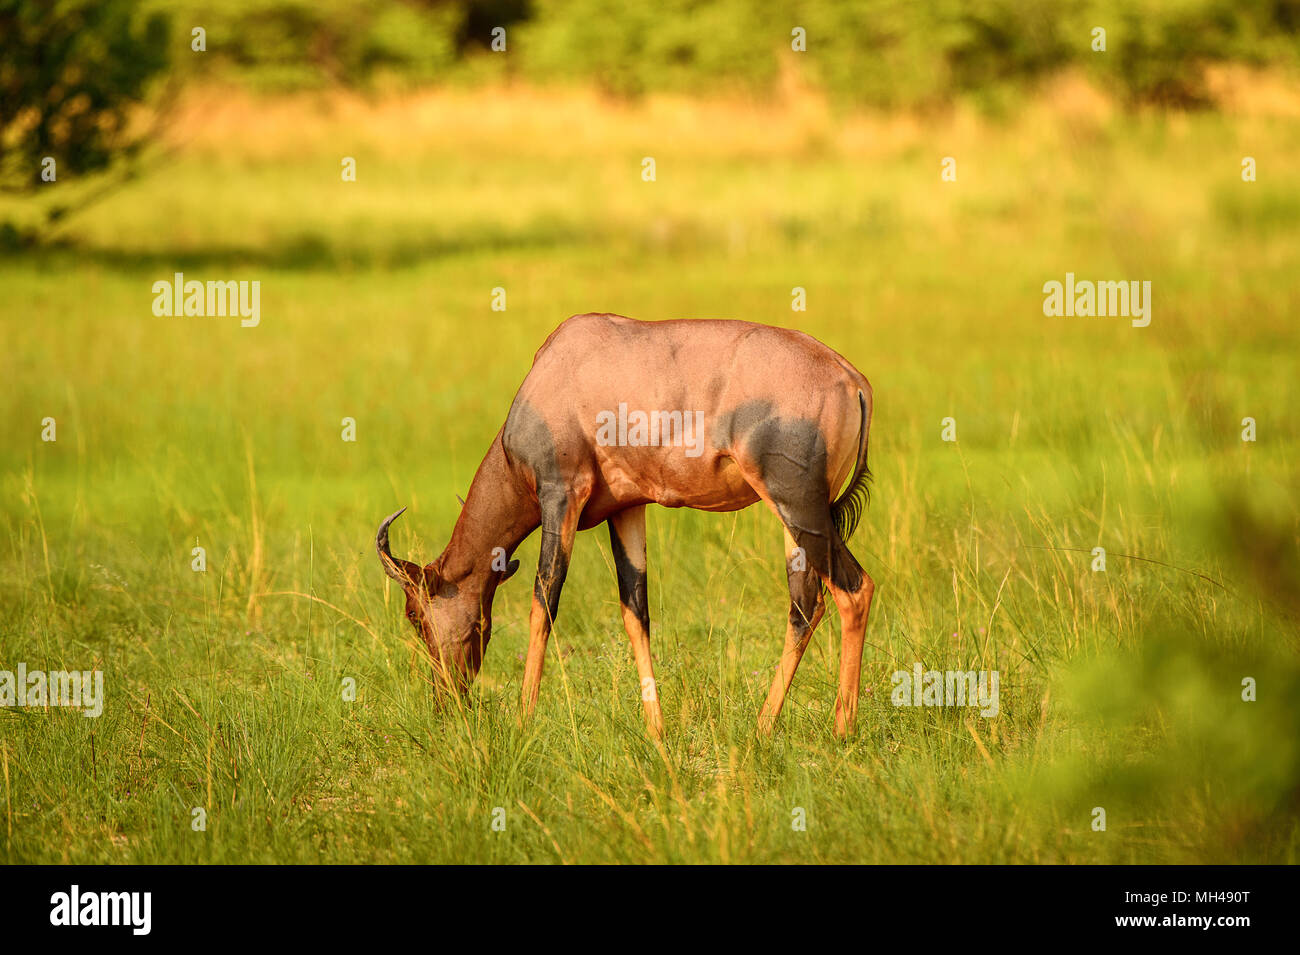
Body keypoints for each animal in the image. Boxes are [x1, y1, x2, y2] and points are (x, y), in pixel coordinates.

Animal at [377, 313, 876, 737]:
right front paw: (656, 729)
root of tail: (852, 379)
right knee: (805, 603)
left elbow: (544, 600)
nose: (445, 704)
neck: (558, 368)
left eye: (414, 614)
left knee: (854, 589)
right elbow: (636, 610)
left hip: (797, 503)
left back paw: (842, 732)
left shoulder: (561, 493)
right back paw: (763, 729)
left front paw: (522, 721)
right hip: (795, 517)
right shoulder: (627, 508)